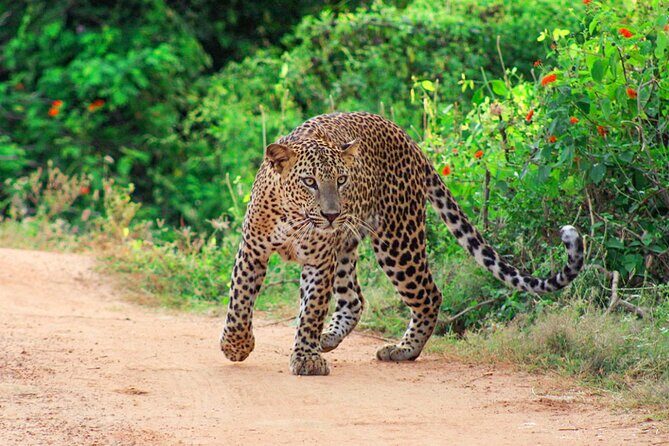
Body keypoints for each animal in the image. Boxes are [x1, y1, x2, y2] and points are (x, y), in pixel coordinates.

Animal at [219, 112, 584, 376]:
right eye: (309, 182)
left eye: (341, 180)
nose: (332, 214)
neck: (295, 216)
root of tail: (410, 140)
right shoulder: (253, 249)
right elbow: (240, 301)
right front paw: (236, 346)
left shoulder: (319, 260)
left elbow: (311, 310)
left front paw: (306, 357)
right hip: (350, 247)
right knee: (354, 299)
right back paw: (330, 338)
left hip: (397, 240)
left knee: (429, 295)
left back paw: (403, 350)